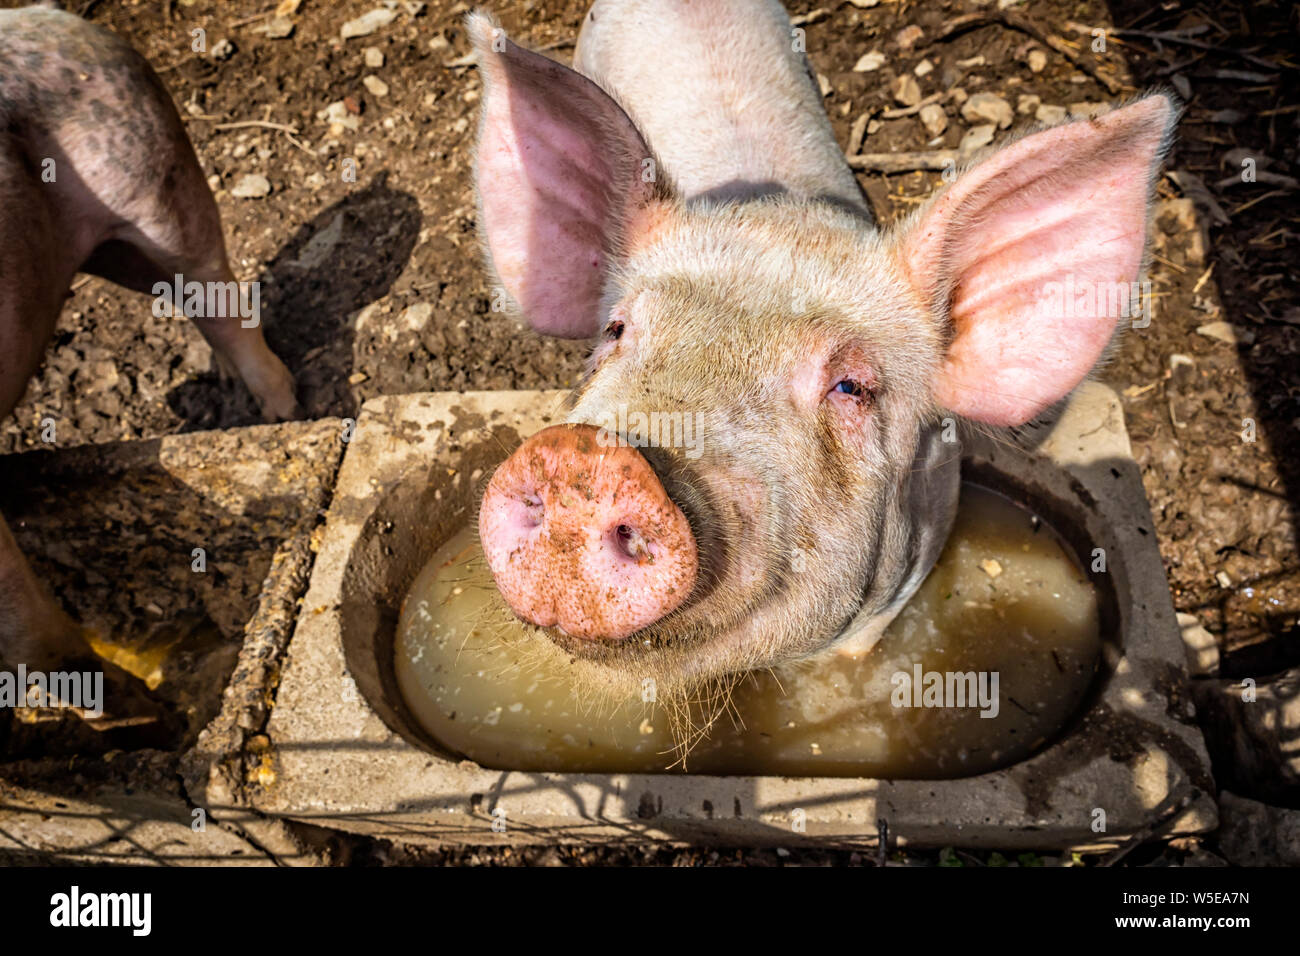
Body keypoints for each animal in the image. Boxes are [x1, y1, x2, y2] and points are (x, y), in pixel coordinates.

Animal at [0, 3, 298, 712]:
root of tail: (52, 15)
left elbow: (30, 634)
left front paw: (140, 713)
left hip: (154, 180)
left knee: (219, 292)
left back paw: (279, 413)